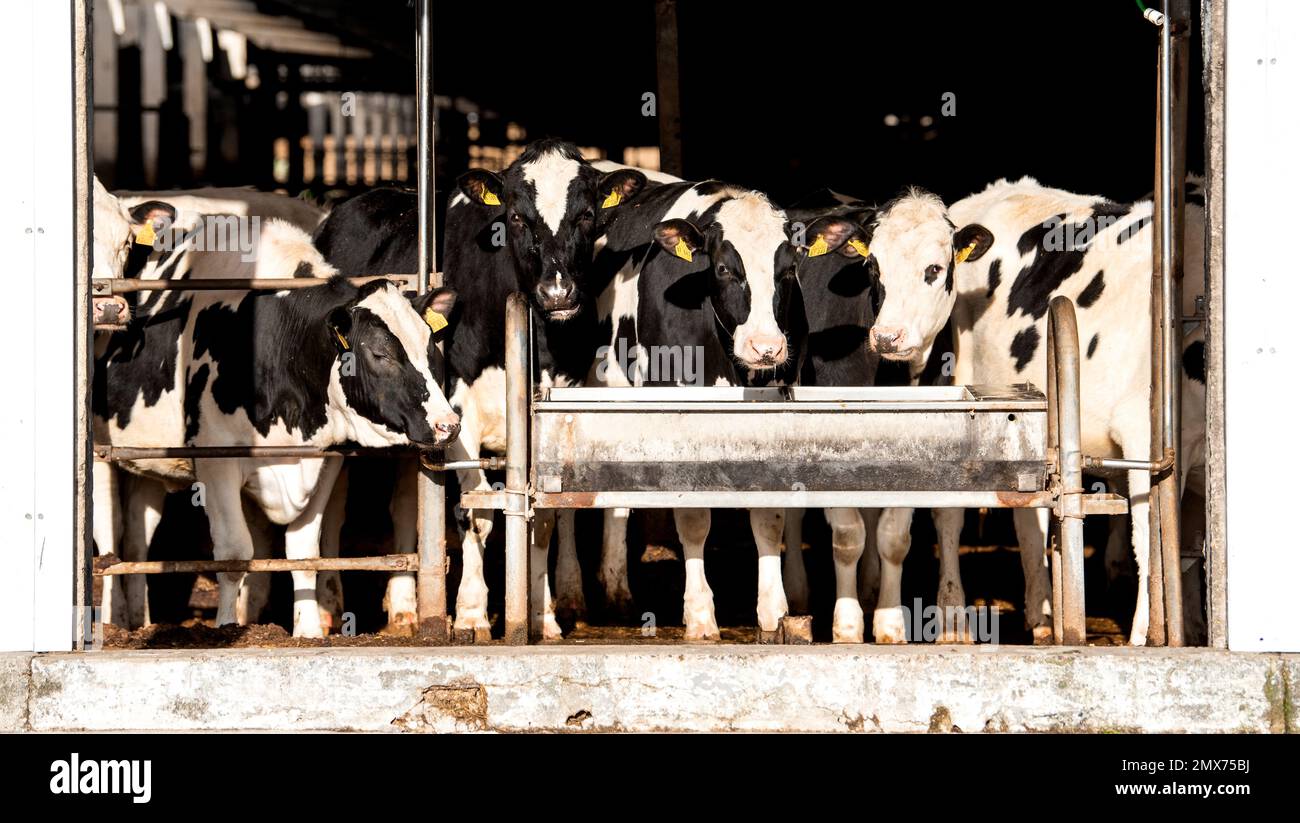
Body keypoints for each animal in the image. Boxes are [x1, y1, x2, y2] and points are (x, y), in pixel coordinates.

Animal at [94, 215, 459, 638]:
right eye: (379, 353)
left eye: (430, 347)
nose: (448, 424)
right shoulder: (216, 460)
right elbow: (234, 554)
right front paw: (226, 628)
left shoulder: (323, 459)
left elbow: (304, 553)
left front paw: (308, 632)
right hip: (101, 456)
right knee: (108, 543)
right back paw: (113, 621)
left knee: (137, 541)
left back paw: (141, 622)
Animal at [314, 138, 647, 638]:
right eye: (516, 216)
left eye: (587, 214)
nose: (557, 293)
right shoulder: (455, 414)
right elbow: (477, 512)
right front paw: (471, 612)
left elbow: (544, 517)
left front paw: (542, 616)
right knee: (335, 507)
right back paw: (328, 604)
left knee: (404, 505)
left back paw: (405, 605)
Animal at [590, 177, 863, 640]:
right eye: (723, 270)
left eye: (788, 269)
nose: (766, 347)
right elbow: (693, 518)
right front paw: (701, 616)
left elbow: (768, 516)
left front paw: (772, 611)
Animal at [863, 177, 1206, 646]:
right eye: (873, 268)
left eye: (934, 269)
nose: (886, 336)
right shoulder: (1145, 437)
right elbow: (1149, 538)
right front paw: (1144, 637)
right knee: (950, 512)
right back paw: (953, 617)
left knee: (1031, 516)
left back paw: (1042, 614)